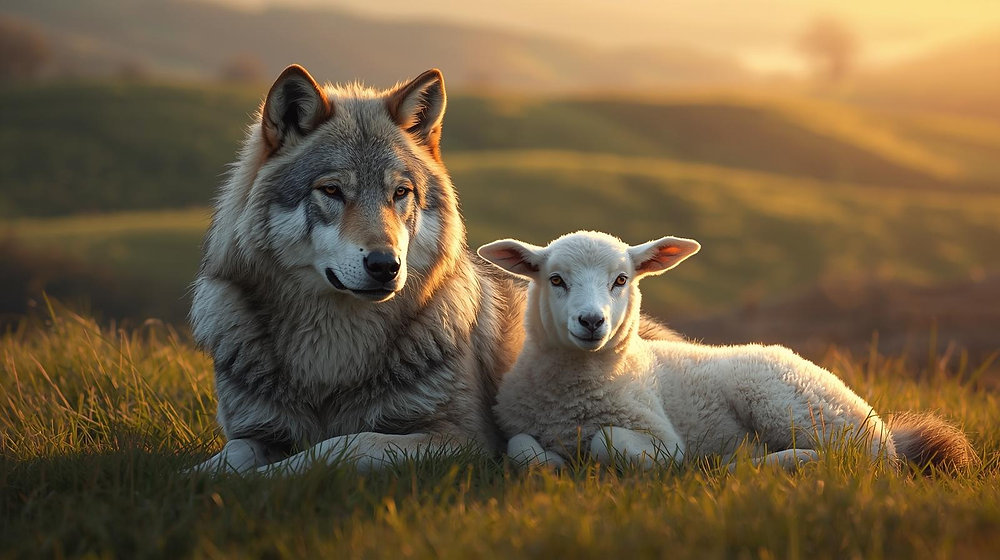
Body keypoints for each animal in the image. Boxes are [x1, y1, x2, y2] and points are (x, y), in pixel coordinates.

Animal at [189, 66, 677, 474]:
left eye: (401, 193)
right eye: (331, 191)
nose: (385, 265)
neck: (332, 355)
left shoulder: (464, 440)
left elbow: (345, 444)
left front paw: (269, 477)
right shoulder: (253, 431)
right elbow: (227, 457)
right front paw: (201, 477)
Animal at [480, 231, 979, 473]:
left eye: (621, 279)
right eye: (556, 279)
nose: (591, 321)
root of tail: (879, 422)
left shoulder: (663, 441)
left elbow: (607, 442)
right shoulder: (520, 428)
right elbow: (521, 451)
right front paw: (550, 465)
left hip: (790, 403)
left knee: (857, 461)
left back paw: (758, 464)